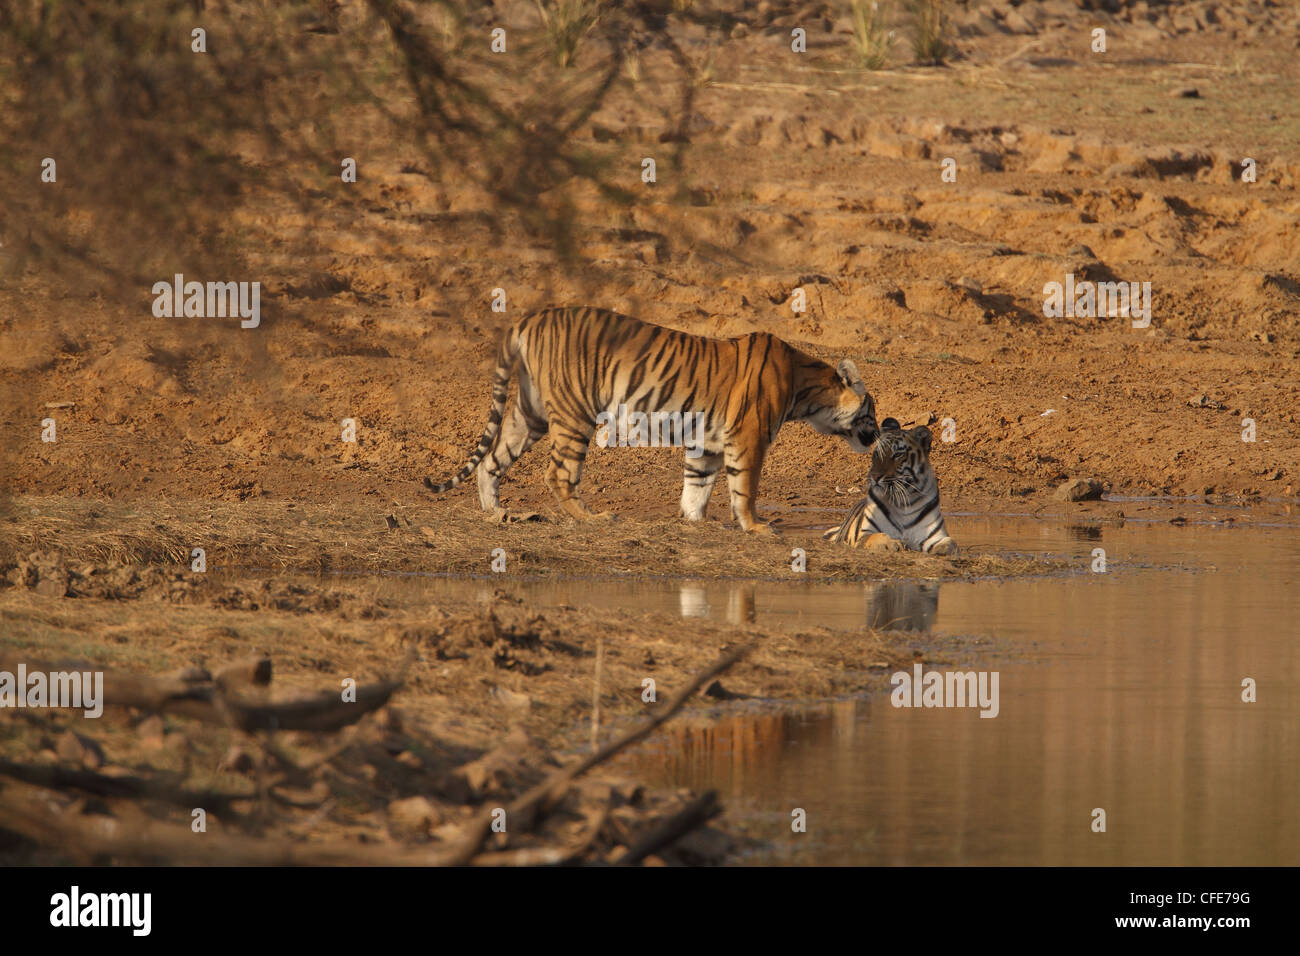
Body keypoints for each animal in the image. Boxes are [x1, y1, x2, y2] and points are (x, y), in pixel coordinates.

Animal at [425, 305, 880, 534]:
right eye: (871, 411)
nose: (877, 435)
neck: (808, 390)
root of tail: (528, 318)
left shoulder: (707, 444)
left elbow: (697, 486)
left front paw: (695, 521)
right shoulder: (748, 438)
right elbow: (745, 488)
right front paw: (756, 527)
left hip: (529, 414)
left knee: (490, 461)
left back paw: (496, 513)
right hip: (574, 413)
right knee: (558, 474)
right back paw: (592, 518)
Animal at [823, 418, 957, 554]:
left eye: (897, 455)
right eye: (877, 454)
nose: (874, 476)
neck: (904, 503)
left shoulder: (936, 536)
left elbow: (951, 543)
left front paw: (945, 550)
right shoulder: (864, 534)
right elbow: (876, 537)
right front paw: (892, 543)